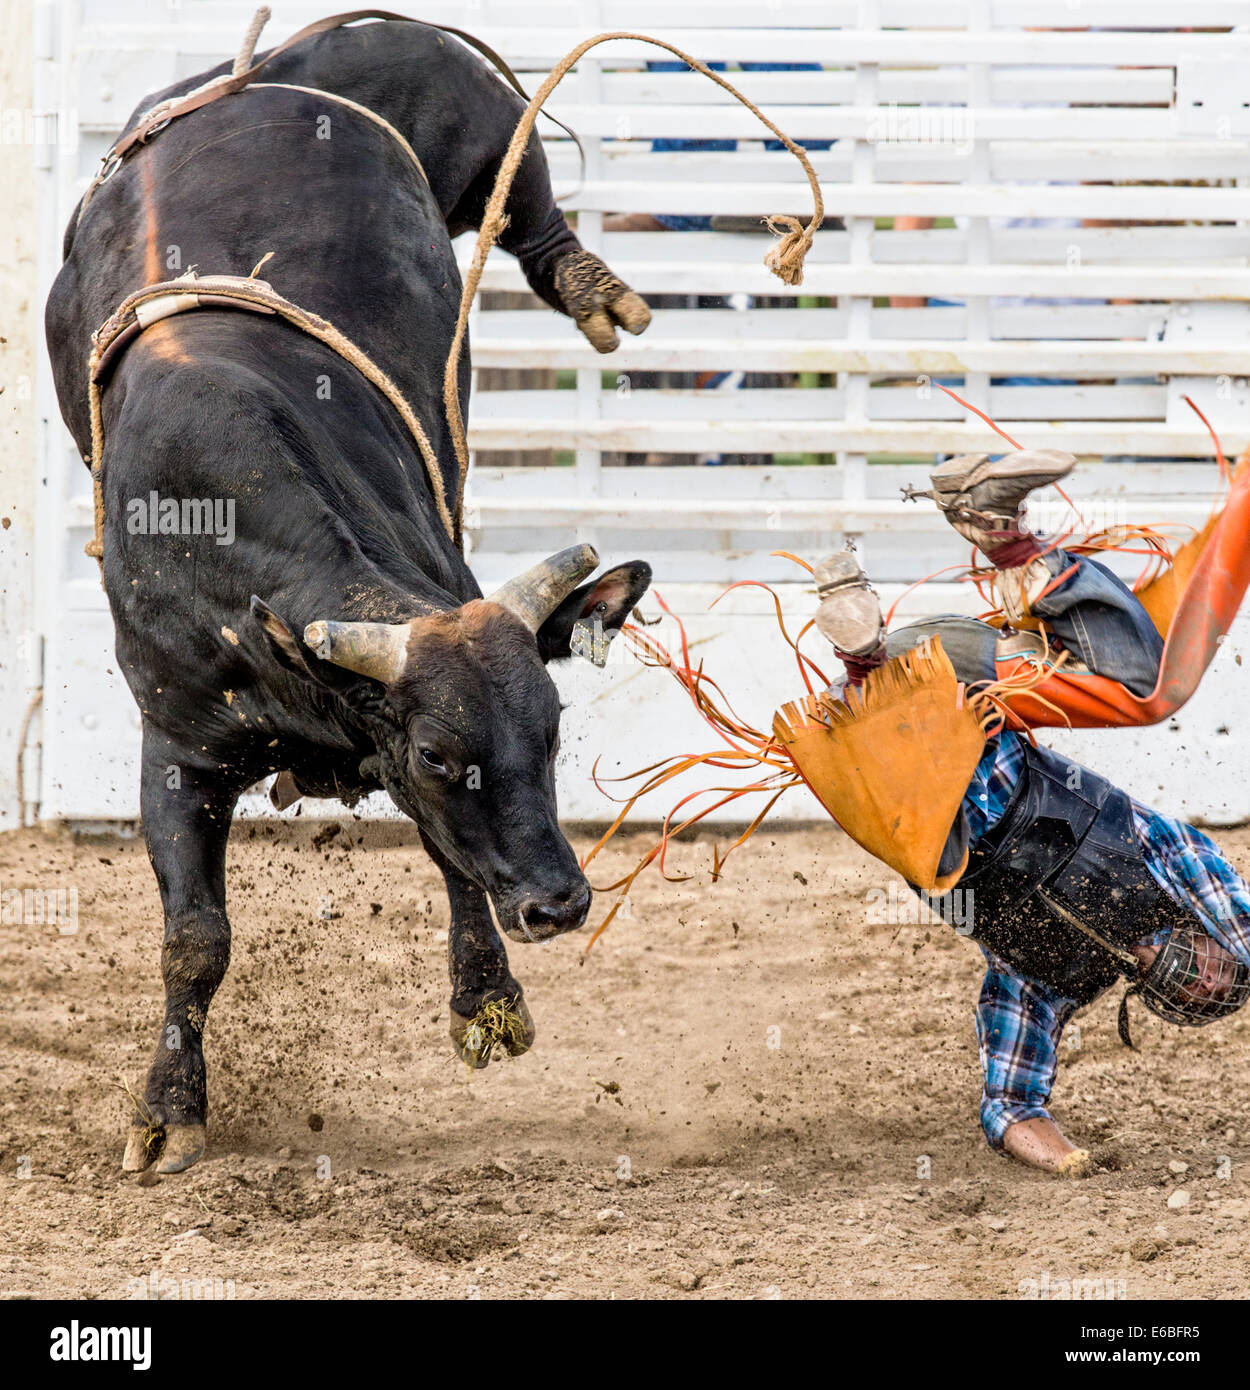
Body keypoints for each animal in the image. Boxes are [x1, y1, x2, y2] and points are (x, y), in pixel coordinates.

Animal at [45, 16, 653, 1174]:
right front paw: (167, 1110)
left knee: (529, 204)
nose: (559, 902)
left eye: (553, 731)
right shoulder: (177, 744)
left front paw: (487, 1004)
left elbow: (452, 858)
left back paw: (594, 285)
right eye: (438, 754)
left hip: (479, 125)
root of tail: (282, 61)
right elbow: (194, 939)